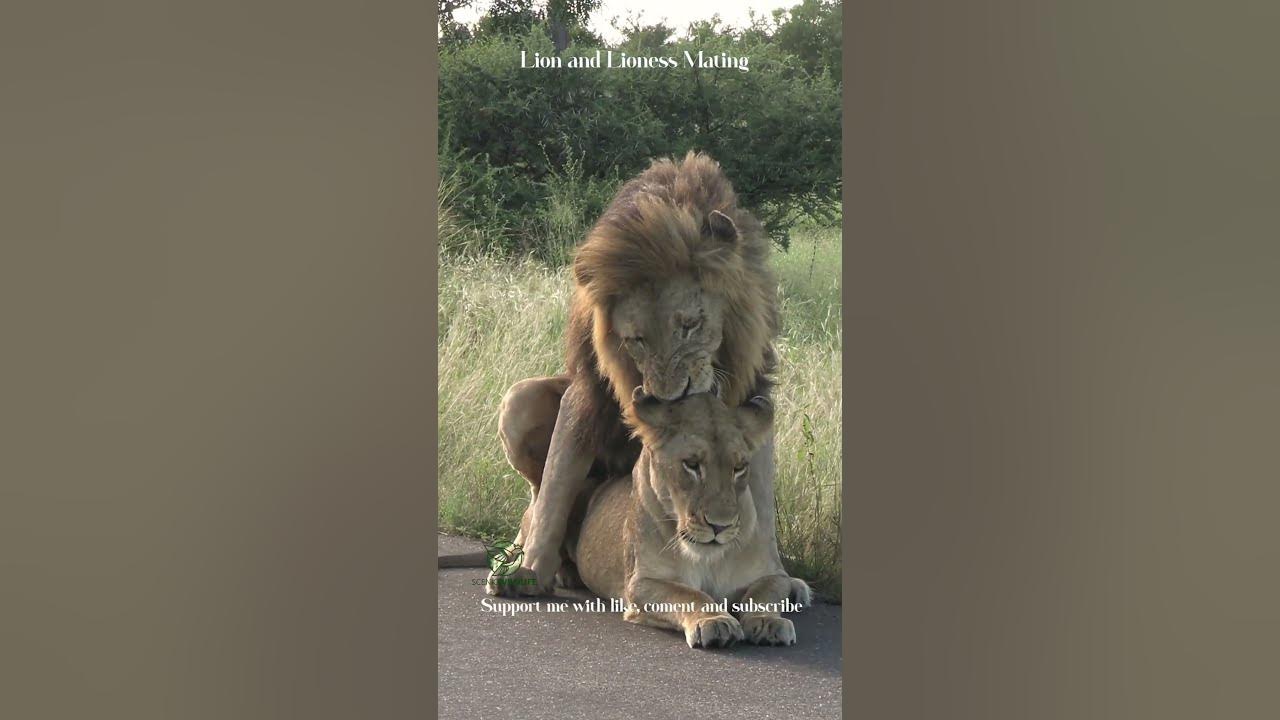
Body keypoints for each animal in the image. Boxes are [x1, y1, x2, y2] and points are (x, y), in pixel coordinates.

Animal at [489, 151, 781, 596]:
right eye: (636, 339)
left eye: (690, 325)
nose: (668, 400)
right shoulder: (589, 387)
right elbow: (556, 484)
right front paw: (528, 569)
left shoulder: (753, 386)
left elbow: (760, 494)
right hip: (519, 400)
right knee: (536, 495)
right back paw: (537, 562)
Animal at [569, 389, 811, 648]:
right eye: (692, 465)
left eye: (738, 467)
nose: (719, 526)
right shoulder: (642, 582)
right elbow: (689, 594)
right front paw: (716, 621)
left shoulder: (769, 575)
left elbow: (762, 594)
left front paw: (768, 622)